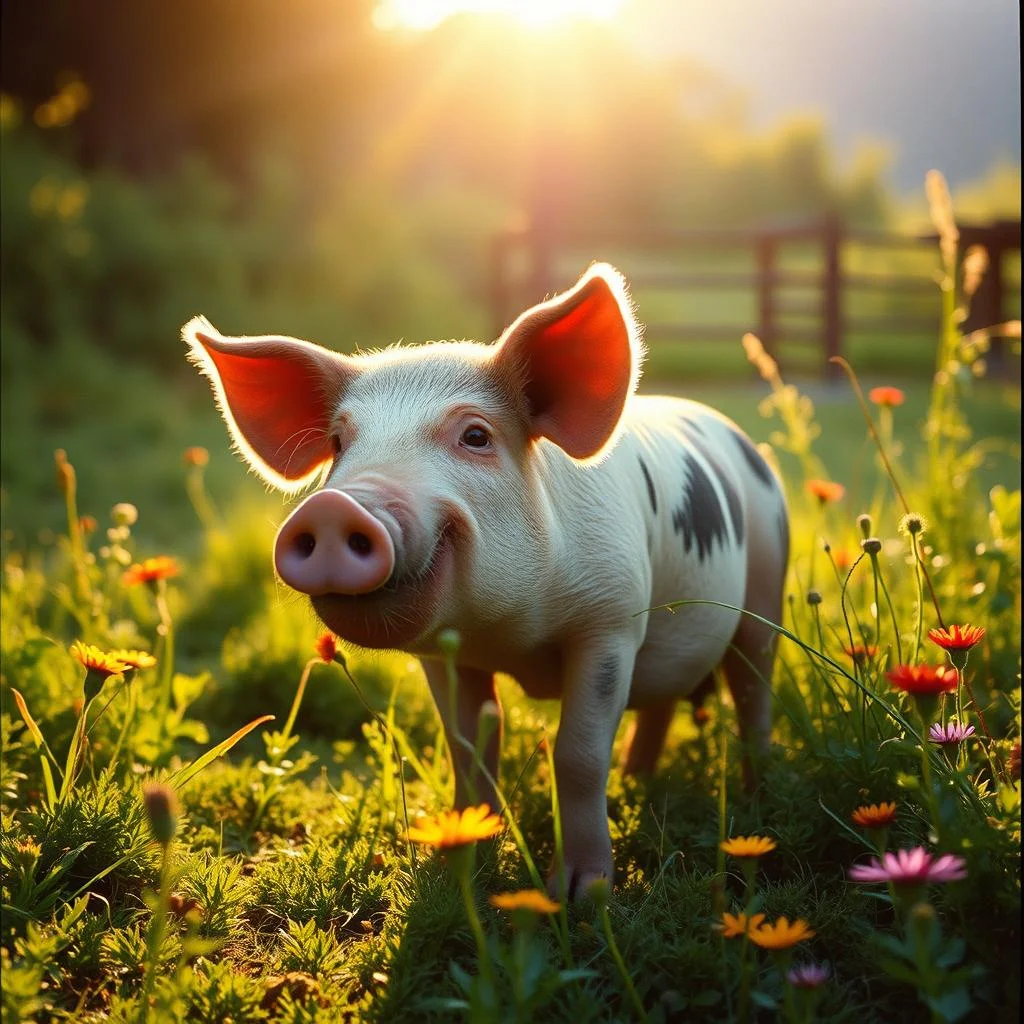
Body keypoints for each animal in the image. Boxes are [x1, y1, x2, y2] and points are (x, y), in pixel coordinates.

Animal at [184, 263, 789, 899]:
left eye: (476, 436)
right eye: (340, 443)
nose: (332, 507)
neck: (514, 635)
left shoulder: (611, 621)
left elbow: (578, 756)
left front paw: (581, 894)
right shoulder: (445, 657)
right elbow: (469, 751)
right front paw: (457, 869)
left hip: (768, 581)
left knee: (753, 687)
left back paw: (758, 795)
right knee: (662, 703)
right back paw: (637, 780)